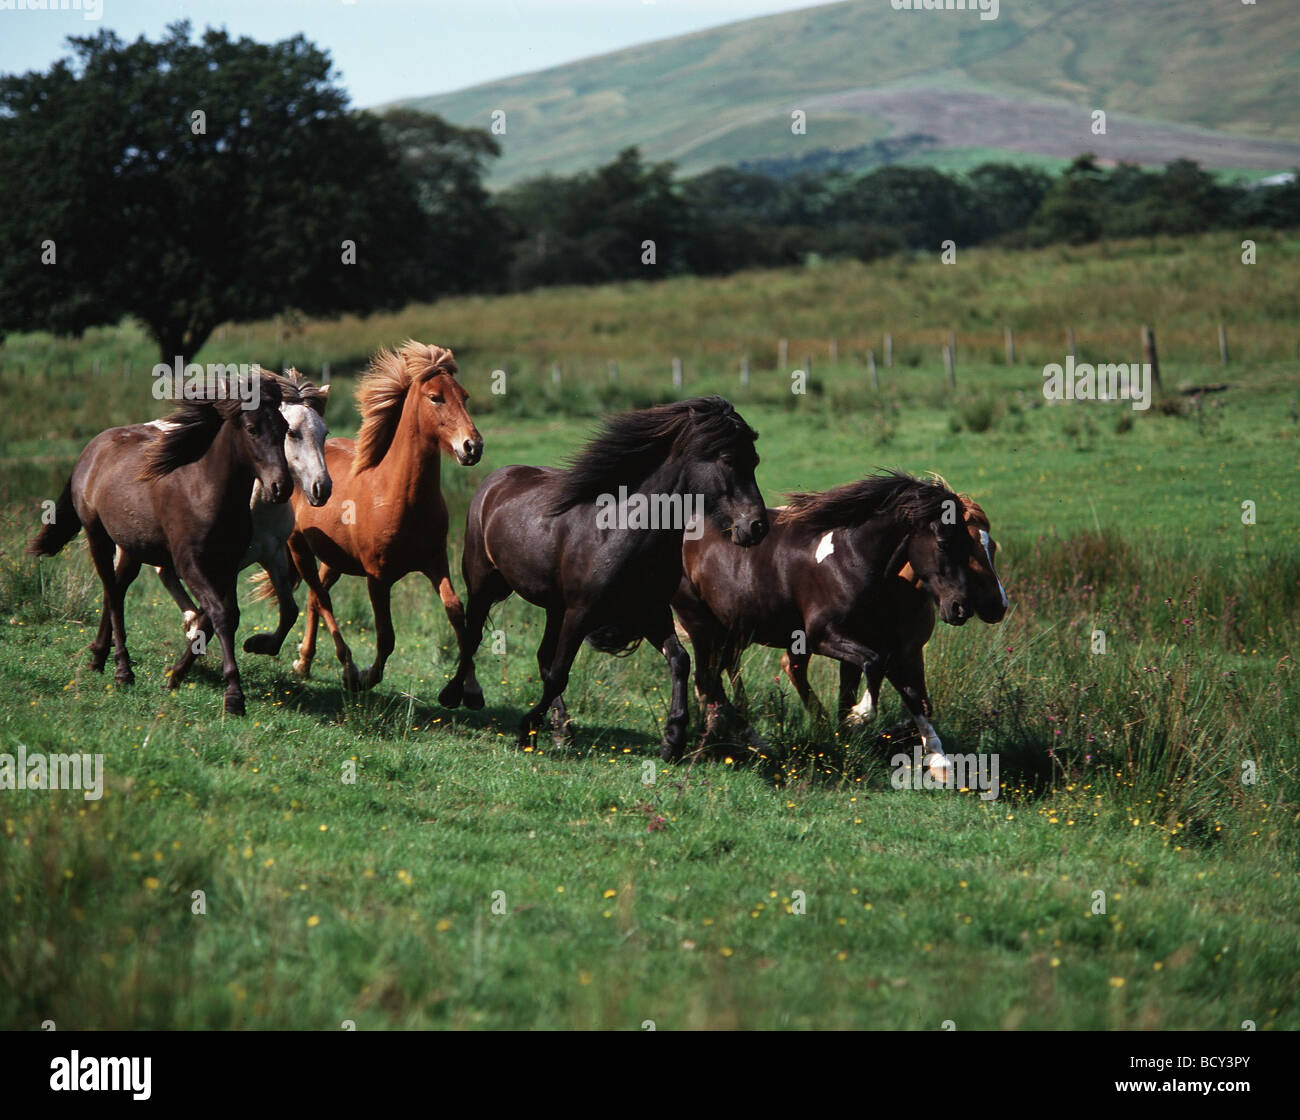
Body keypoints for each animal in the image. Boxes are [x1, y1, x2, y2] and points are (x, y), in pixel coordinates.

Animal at [27, 373, 291, 715]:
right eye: (251, 429)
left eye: (285, 427)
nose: (281, 487)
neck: (205, 489)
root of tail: (90, 450)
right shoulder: (189, 562)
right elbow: (222, 615)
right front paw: (234, 696)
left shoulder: (226, 565)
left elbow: (217, 616)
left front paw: (174, 677)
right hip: (98, 536)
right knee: (112, 593)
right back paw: (123, 670)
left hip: (132, 549)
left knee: (116, 590)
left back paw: (98, 658)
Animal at [152, 369, 332, 657]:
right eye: (292, 433)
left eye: (325, 434)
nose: (322, 487)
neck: (259, 509)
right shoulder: (228, 565)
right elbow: (225, 613)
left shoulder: (273, 555)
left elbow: (290, 610)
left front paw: (260, 644)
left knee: (166, 574)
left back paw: (190, 622)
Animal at [286, 341, 483, 690]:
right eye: (436, 397)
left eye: (465, 396)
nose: (473, 446)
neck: (399, 497)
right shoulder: (377, 578)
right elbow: (386, 636)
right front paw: (366, 677)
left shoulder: (436, 563)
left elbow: (456, 613)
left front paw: (471, 687)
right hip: (299, 548)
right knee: (321, 598)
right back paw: (345, 667)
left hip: (334, 559)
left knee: (314, 597)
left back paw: (304, 663)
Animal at [439, 396, 768, 760]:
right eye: (728, 459)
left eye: (754, 461)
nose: (756, 527)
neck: (624, 533)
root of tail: (494, 480)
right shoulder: (581, 612)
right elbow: (559, 674)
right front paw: (525, 729)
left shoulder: (650, 612)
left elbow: (679, 661)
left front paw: (672, 739)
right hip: (484, 584)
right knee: (472, 637)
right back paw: (457, 696)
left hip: (554, 608)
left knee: (541, 656)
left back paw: (562, 730)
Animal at [672, 471, 1006, 764]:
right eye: (944, 543)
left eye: (980, 546)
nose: (961, 607)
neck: (850, 559)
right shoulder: (823, 637)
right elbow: (873, 667)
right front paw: (858, 718)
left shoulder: (899, 650)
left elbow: (914, 696)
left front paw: (939, 761)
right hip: (702, 624)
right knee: (708, 679)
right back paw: (735, 742)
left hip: (733, 629)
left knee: (722, 674)